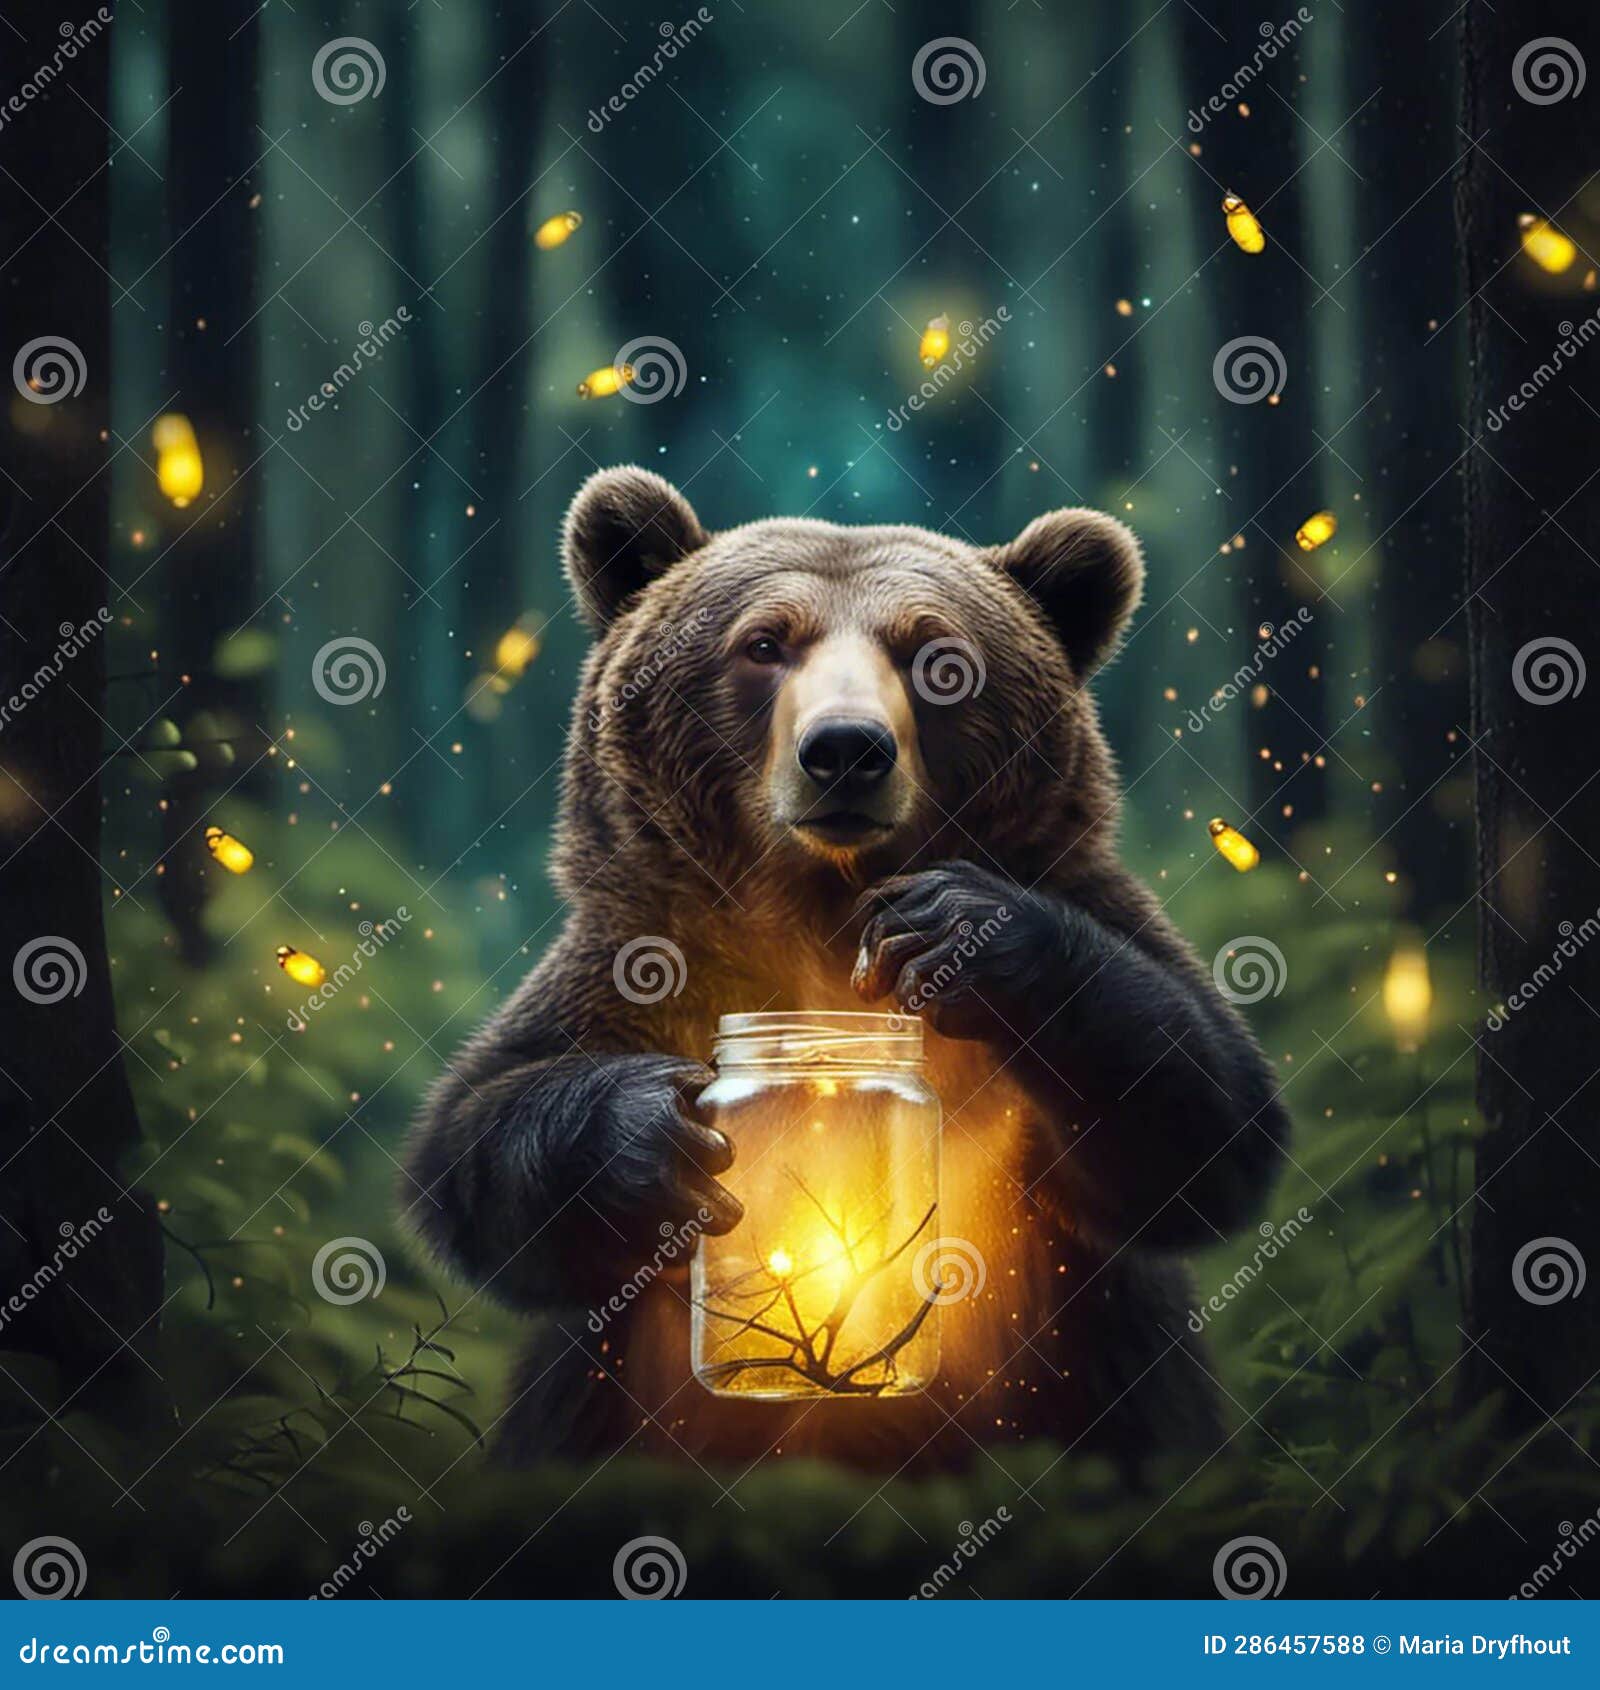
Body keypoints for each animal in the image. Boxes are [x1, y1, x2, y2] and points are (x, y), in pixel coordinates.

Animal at [401, 465, 1289, 1474]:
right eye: (763, 643)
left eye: (938, 657)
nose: (846, 750)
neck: (822, 917)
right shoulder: (643, 955)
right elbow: (476, 1142)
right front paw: (656, 1134)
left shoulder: (1083, 913)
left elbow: (1206, 1120)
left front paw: (954, 927)